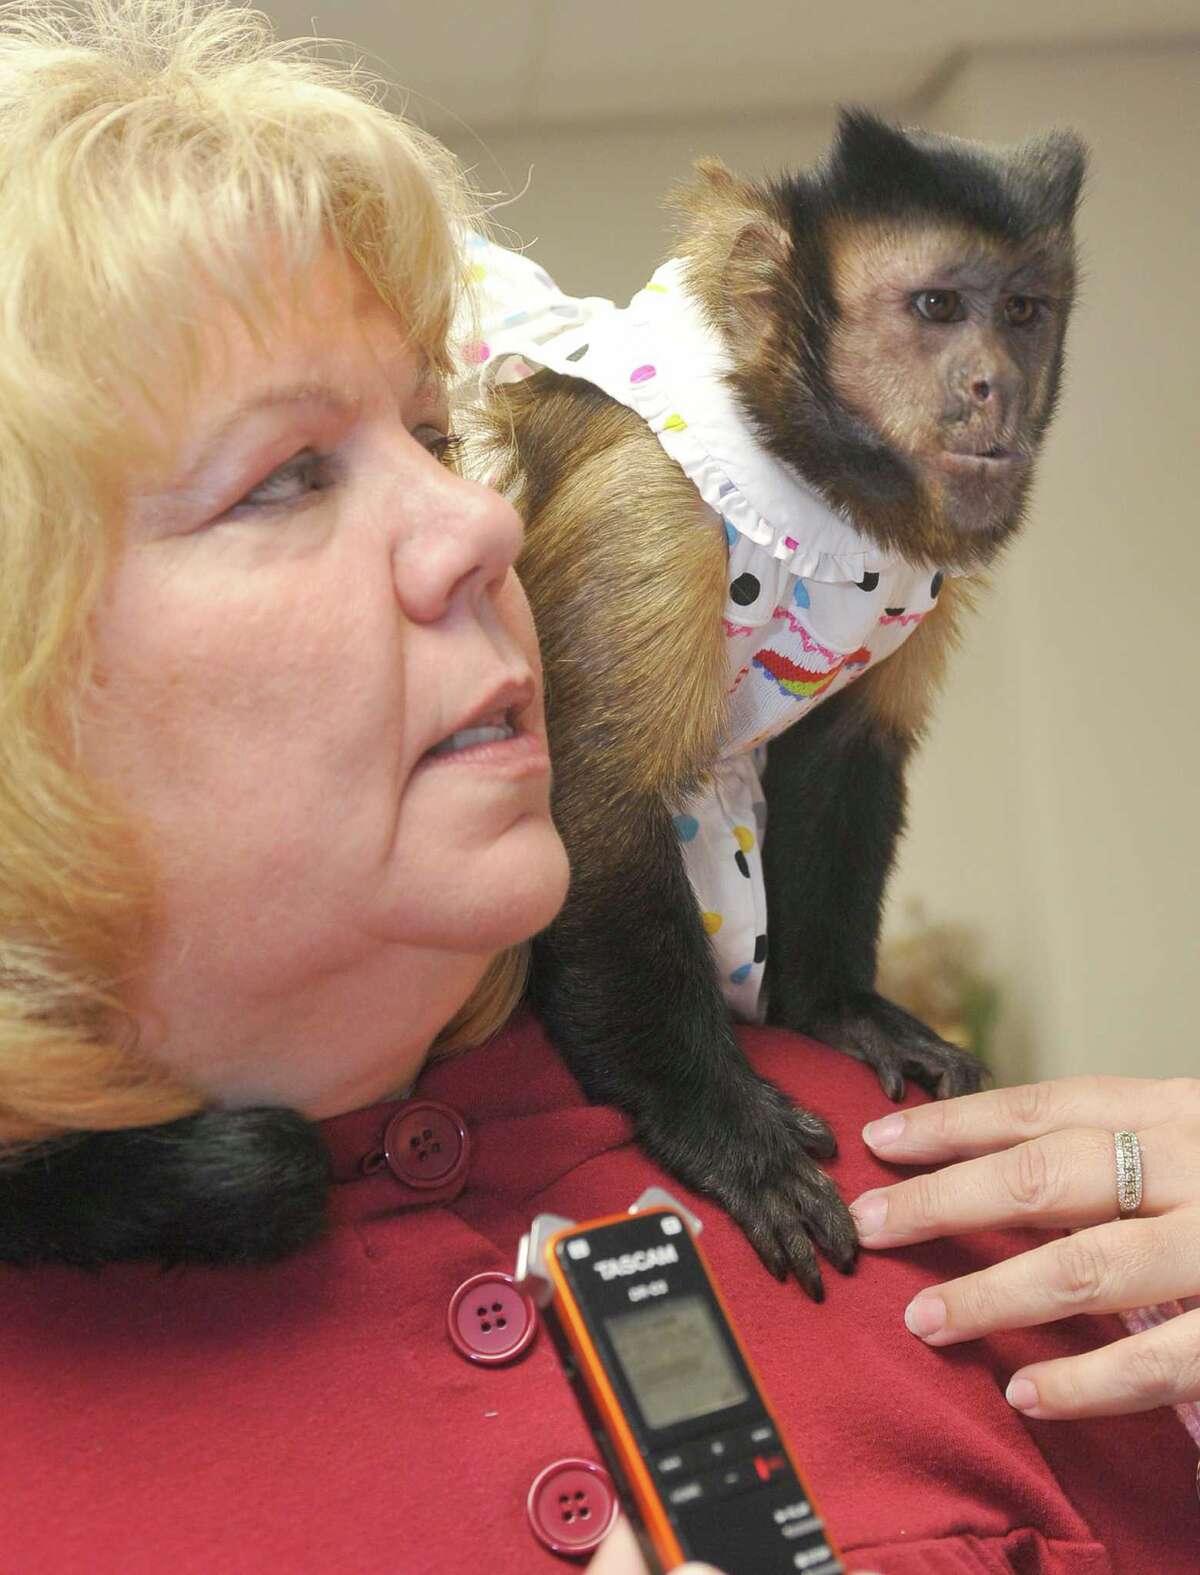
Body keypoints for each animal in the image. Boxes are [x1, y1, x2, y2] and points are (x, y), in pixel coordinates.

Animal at [457, 110, 1086, 1300]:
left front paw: (838, 1009)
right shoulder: (651, 502)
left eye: (1024, 312)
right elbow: (584, 796)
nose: (995, 385)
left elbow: (841, 760)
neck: (804, 480)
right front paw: (720, 1124)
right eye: (938, 307)